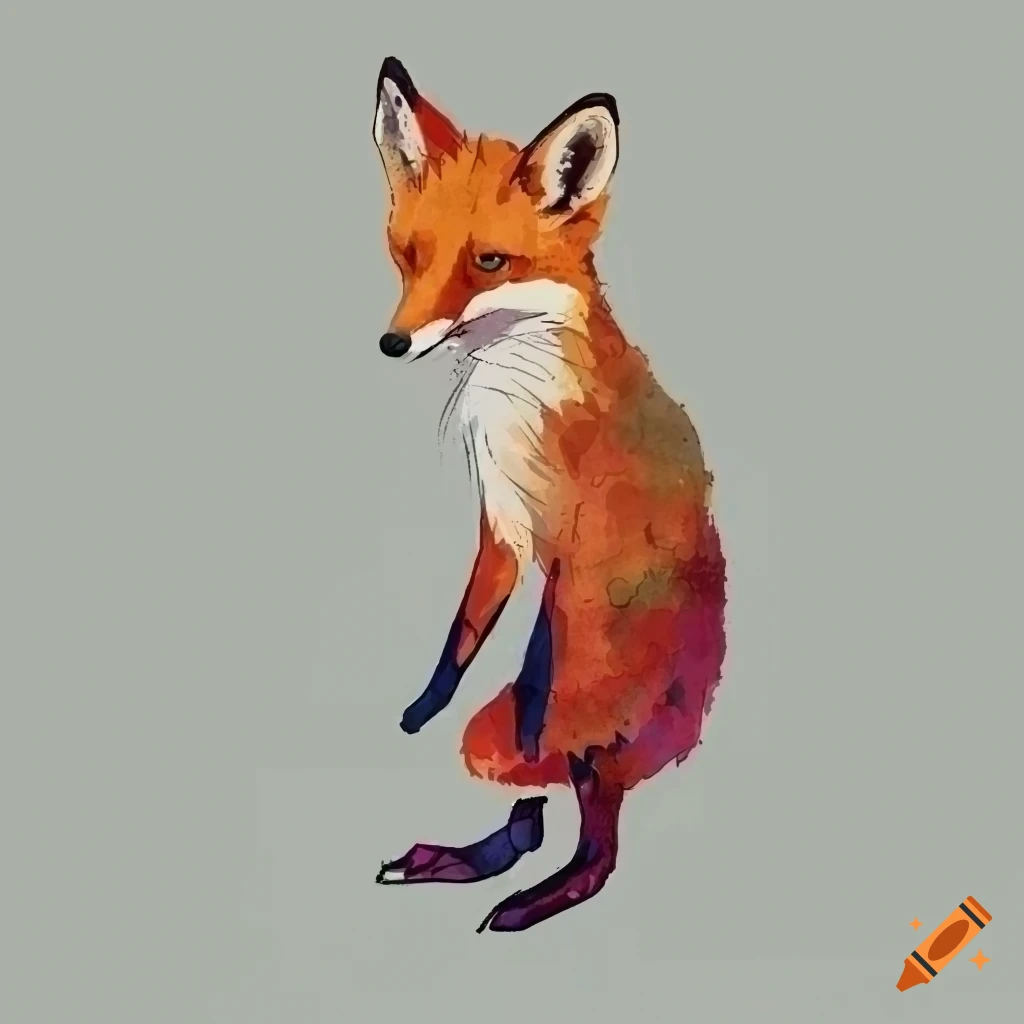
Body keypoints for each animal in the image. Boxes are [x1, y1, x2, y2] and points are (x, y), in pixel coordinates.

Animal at [371, 57, 727, 933]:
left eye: (489, 264)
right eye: (410, 254)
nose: (394, 342)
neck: (512, 390)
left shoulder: (571, 540)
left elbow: (541, 648)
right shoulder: (502, 525)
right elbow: (462, 634)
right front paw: (419, 710)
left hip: (567, 737)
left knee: (595, 851)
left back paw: (529, 900)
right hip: (506, 745)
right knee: (533, 817)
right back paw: (455, 861)